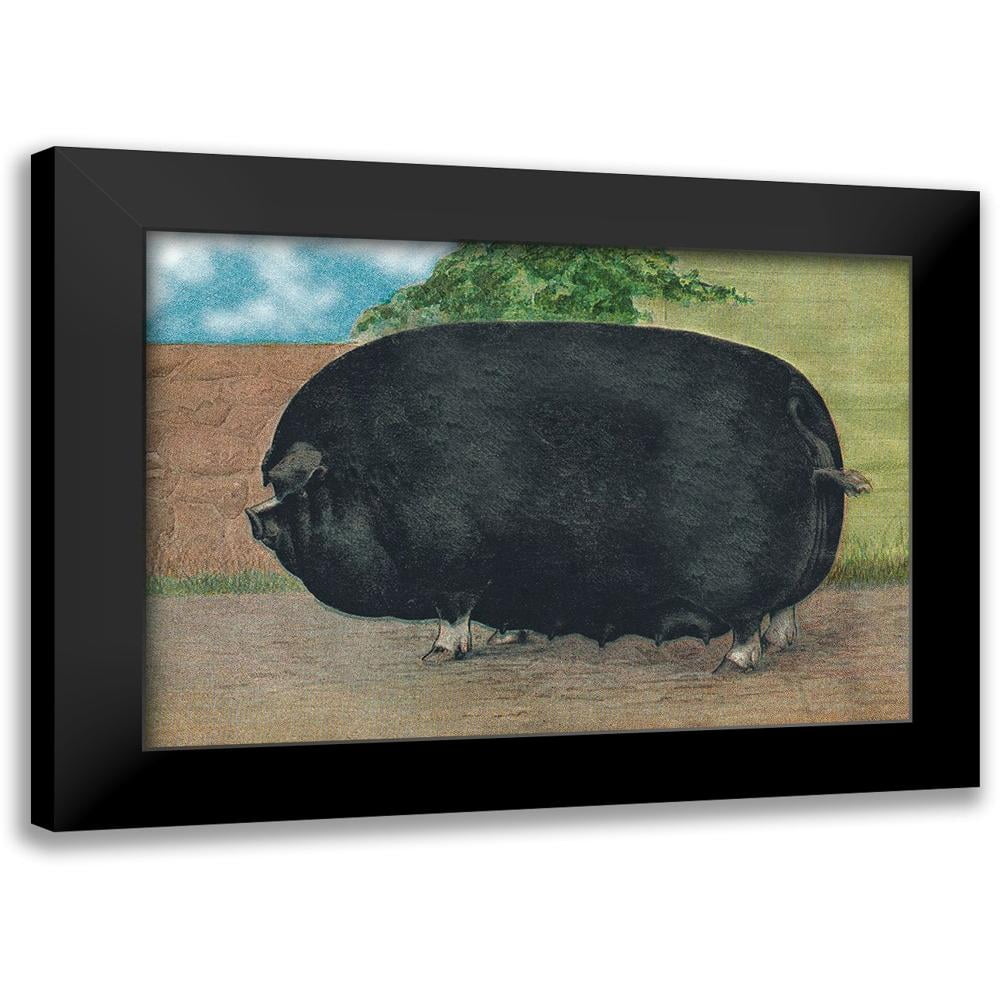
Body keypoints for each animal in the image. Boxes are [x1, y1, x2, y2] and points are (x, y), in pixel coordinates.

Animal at [246, 322, 870, 673]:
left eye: (298, 486)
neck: (370, 477)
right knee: (786, 607)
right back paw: (783, 649)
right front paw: (505, 637)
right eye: (274, 485)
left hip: (741, 573)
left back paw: (730, 667)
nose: (253, 516)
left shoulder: (453, 567)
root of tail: (796, 403)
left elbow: (452, 615)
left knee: (748, 621)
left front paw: (436, 655)